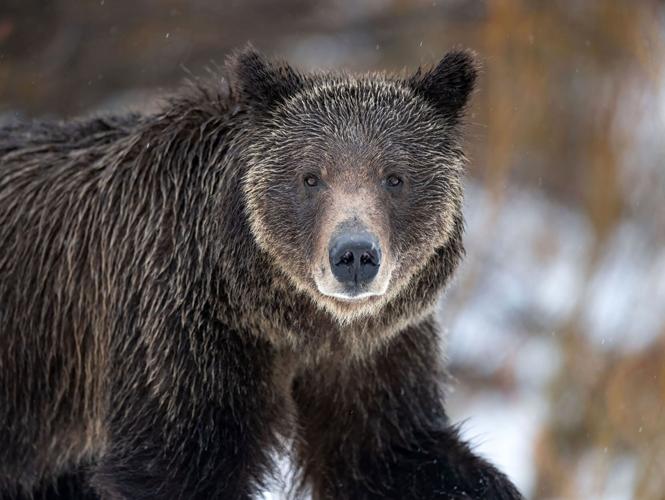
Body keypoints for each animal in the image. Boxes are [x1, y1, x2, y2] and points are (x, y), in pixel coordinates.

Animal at [0, 46, 522, 499]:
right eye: (311, 176)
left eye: (394, 176)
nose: (354, 255)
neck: (287, 320)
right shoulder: (181, 330)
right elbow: (178, 465)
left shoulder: (372, 352)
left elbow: (393, 454)